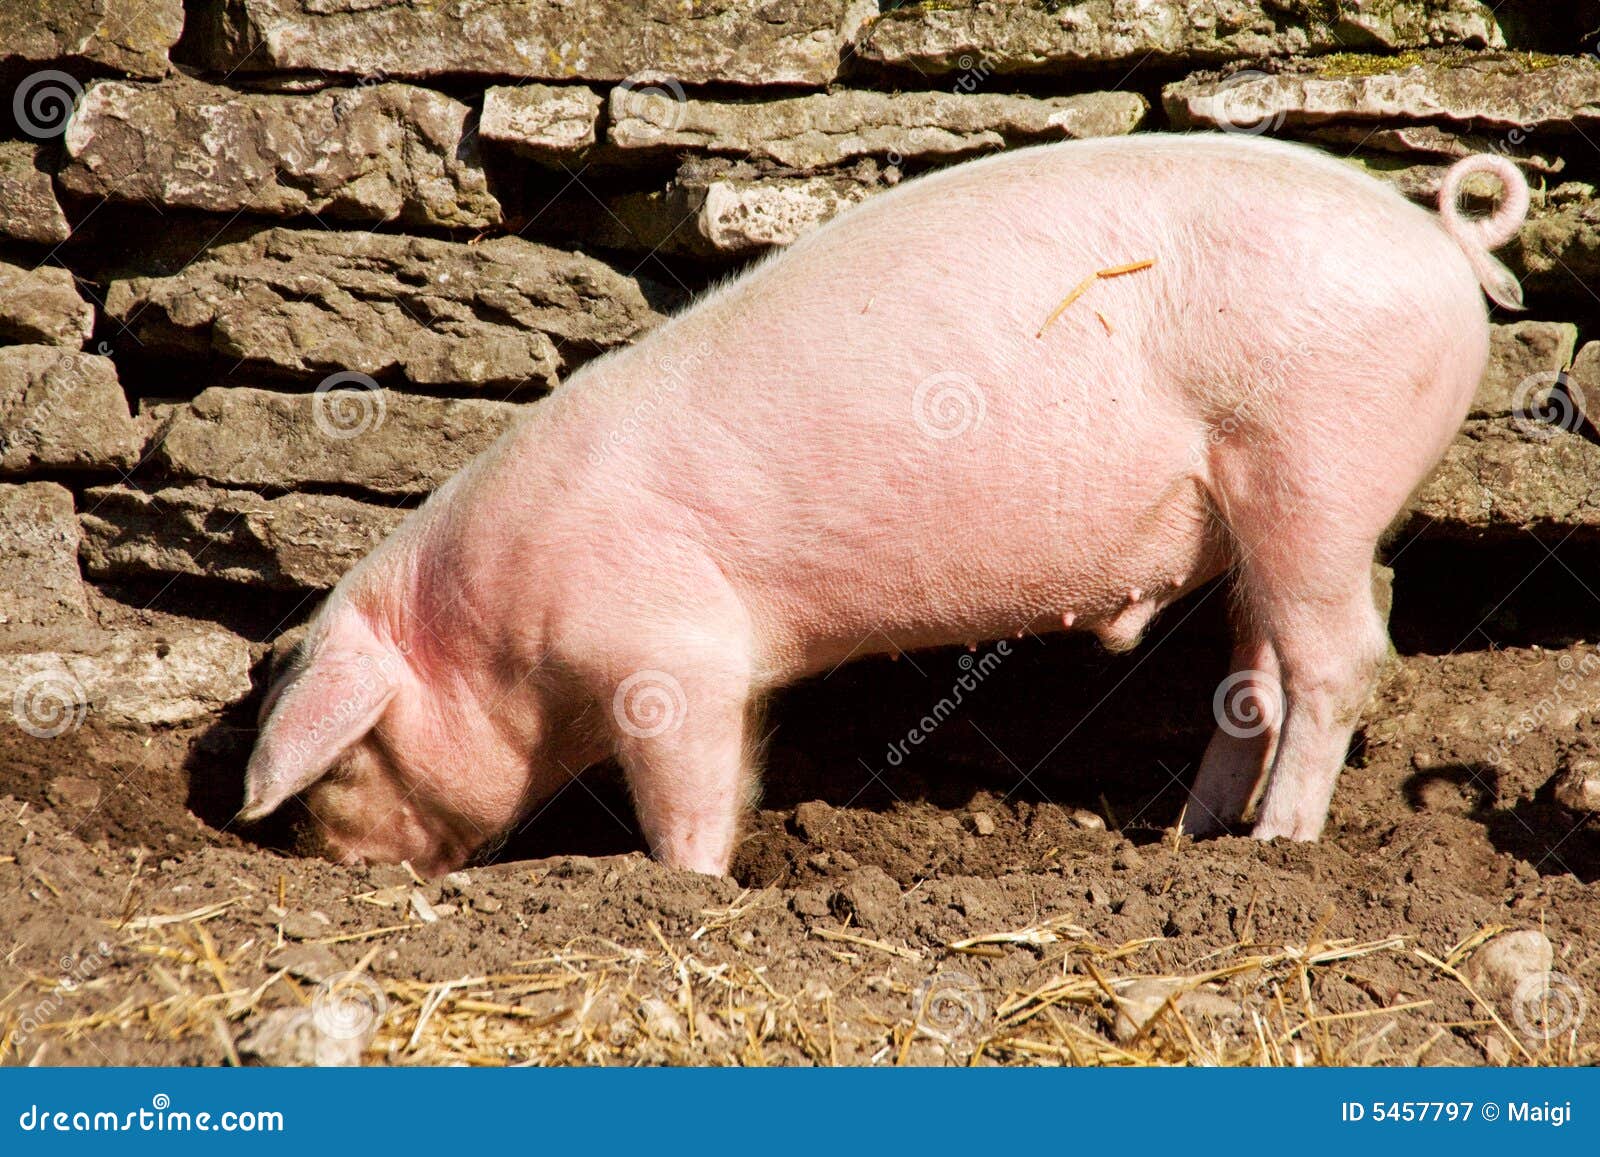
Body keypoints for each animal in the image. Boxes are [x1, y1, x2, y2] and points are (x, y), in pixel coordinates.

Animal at [239, 133, 1530, 877]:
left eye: (347, 762)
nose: (325, 856)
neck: (495, 632)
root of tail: (1438, 237)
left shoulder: (666, 656)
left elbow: (687, 792)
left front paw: (684, 889)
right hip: (1259, 508)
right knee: (1254, 675)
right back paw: (1185, 836)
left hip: (1320, 470)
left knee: (1339, 658)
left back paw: (1280, 846)